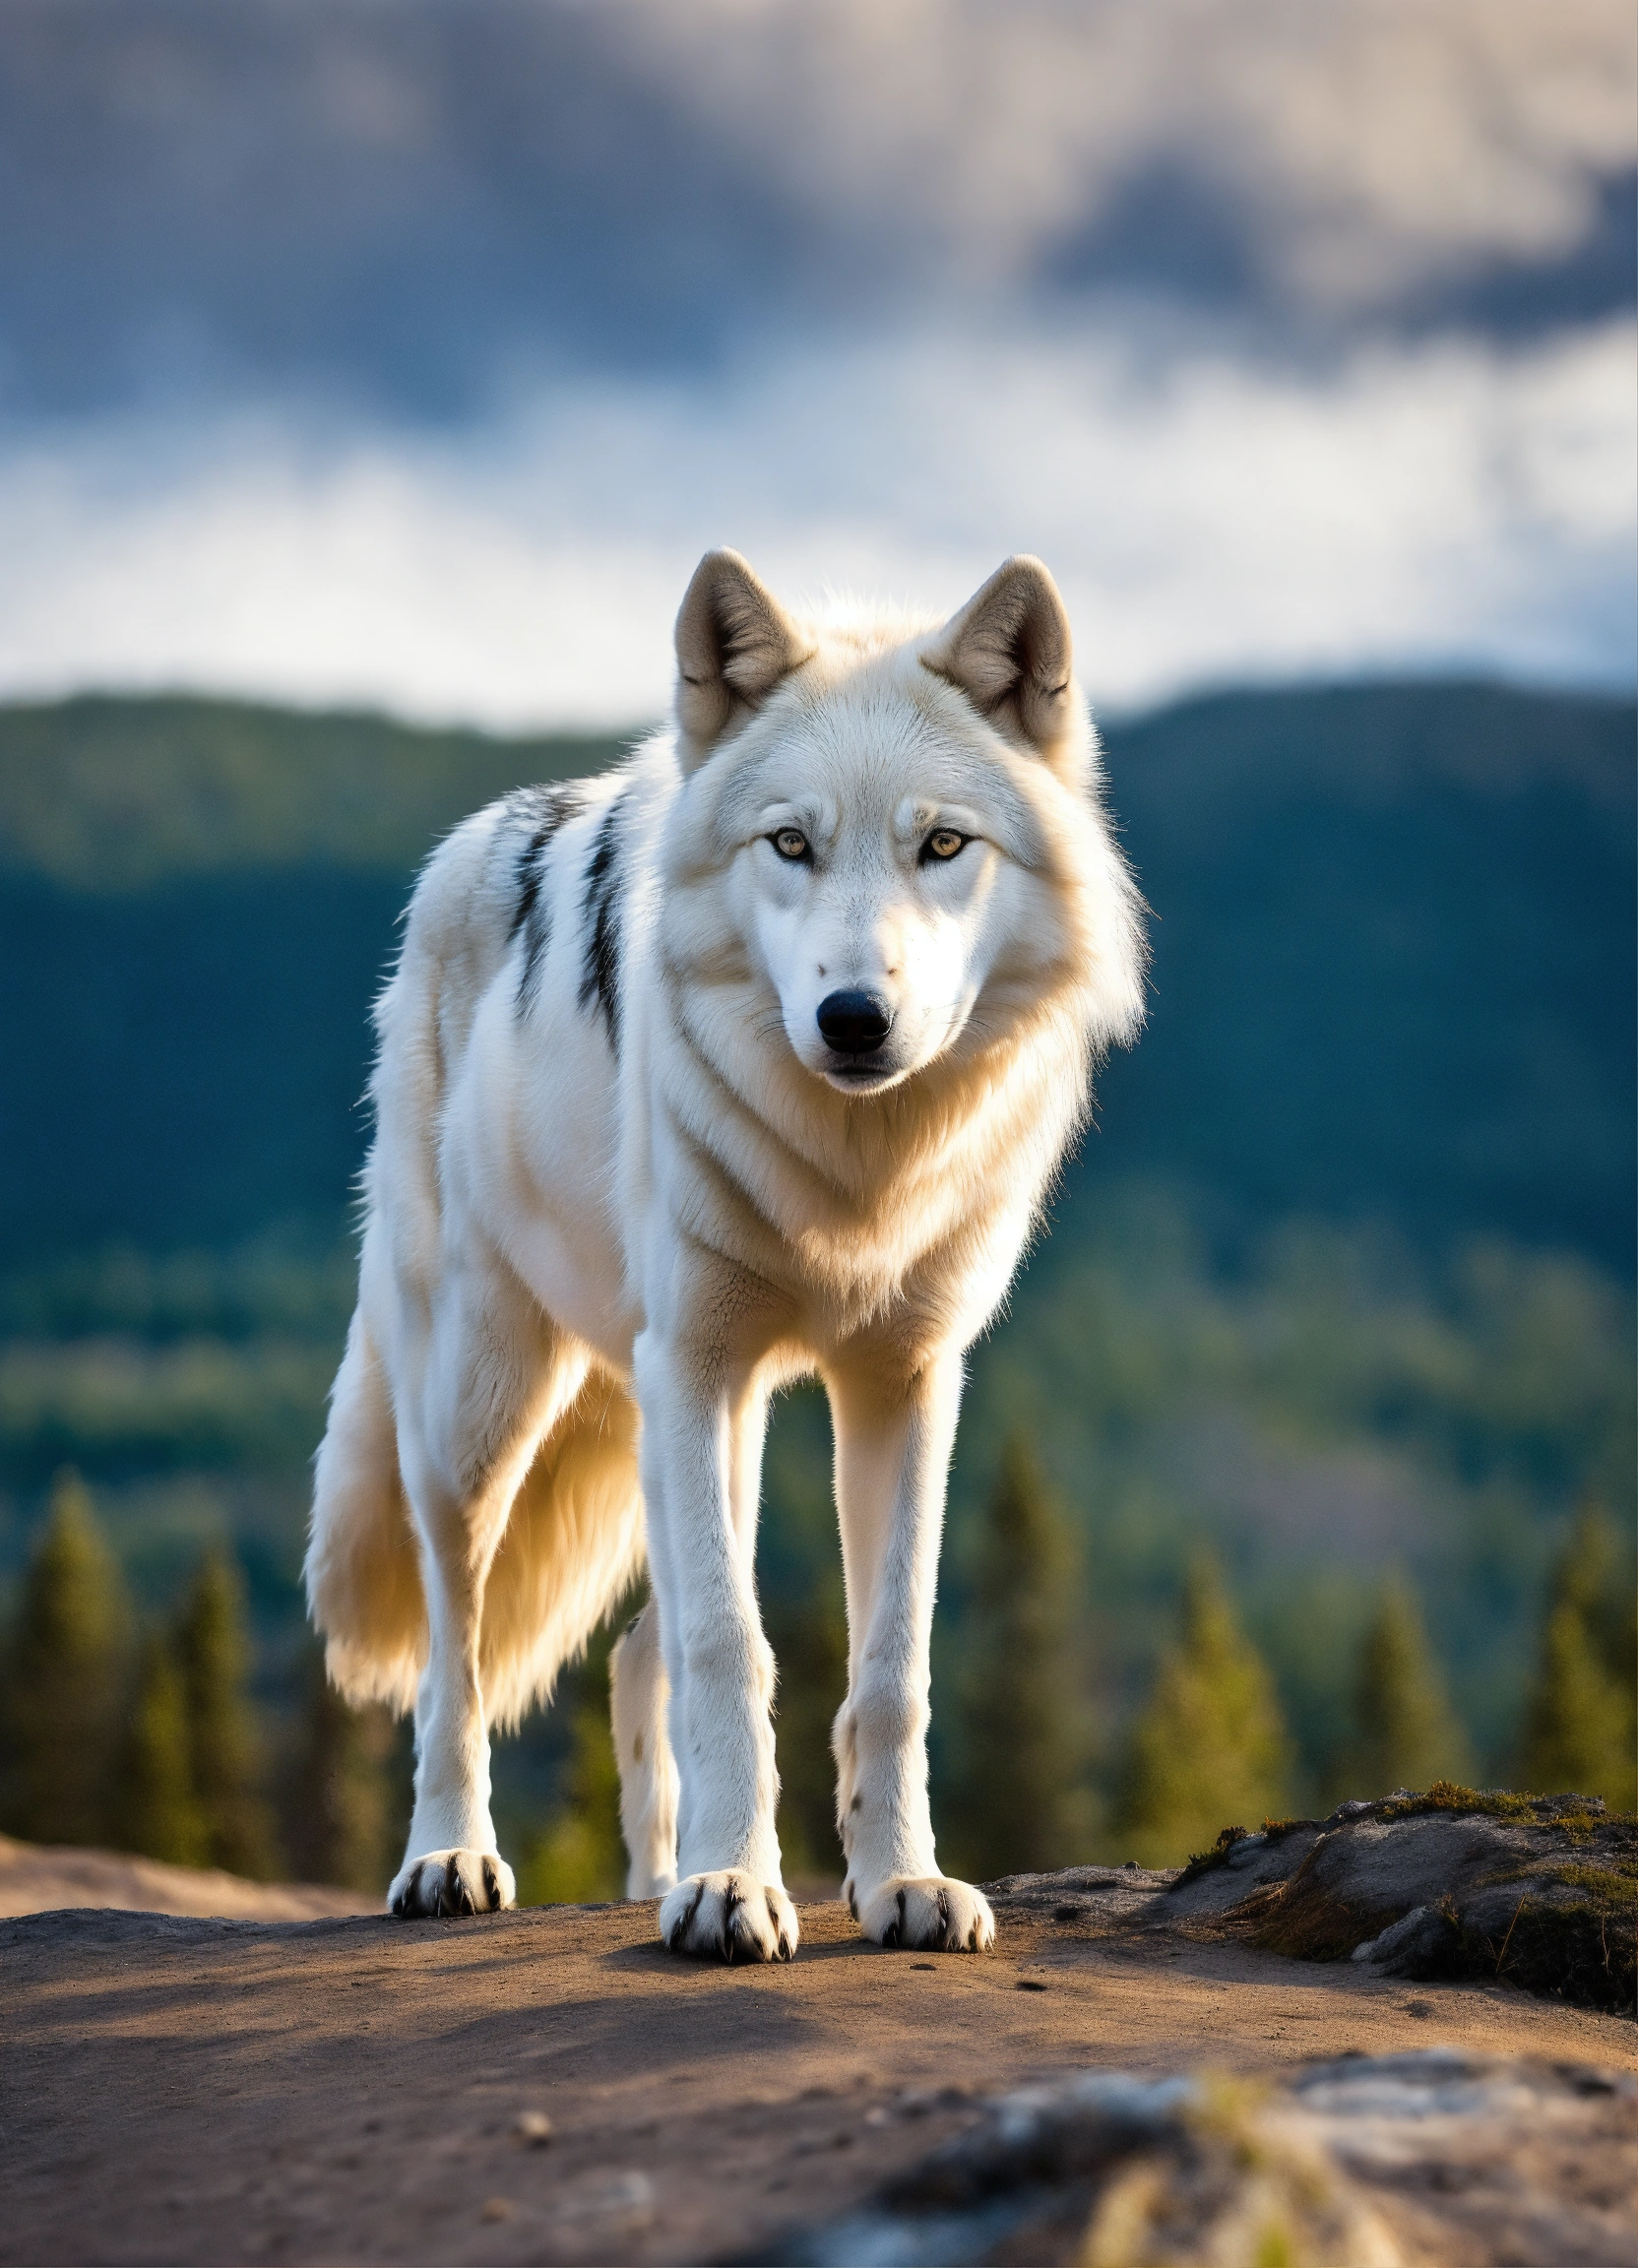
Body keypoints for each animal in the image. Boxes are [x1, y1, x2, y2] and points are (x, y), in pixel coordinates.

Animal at [305, 549, 1145, 1960]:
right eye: (790, 843)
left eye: (942, 845)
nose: (853, 1018)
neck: (855, 1178)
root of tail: (474, 840)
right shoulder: (696, 1361)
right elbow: (728, 1646)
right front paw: (732, 1889)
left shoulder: (903, 1383)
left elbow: (887, 1662)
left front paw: (900, 1882)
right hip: (483, 1410)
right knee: (454, 1648)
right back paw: (453, 1860)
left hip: (693, 1414)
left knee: (635, 1652)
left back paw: (648, 1876)